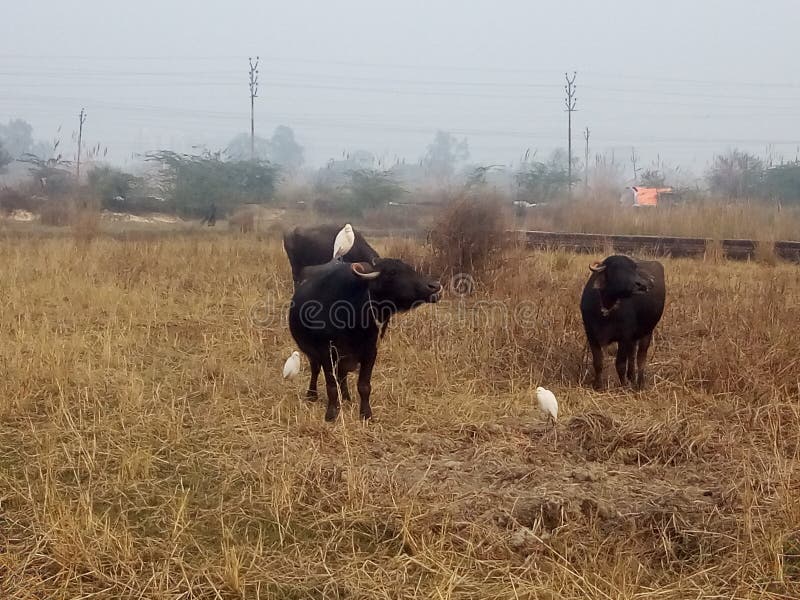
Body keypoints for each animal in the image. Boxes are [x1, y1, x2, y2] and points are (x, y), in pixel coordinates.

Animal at [289, 259, 441, 421]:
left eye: (410, 268)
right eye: (392, 272)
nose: (435, 286)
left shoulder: (370, 352)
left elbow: (364, 386)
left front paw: (366, 413)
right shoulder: (326, 353)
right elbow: (331, 385)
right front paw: (331, 413)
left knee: (342, 377)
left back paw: (346, 398)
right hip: (312, 354)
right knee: (316, 370)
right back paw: (312, 395)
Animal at [580, 255, 665, 389]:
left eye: (634, 268)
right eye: (616, 269)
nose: (642, 285)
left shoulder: (625, 337)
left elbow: (620, 364)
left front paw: (623, 385)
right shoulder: (591, 335)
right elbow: (598, 361)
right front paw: (597, 385)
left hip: (647, 331)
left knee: (641, 357)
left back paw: (639, 383)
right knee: (632, 355)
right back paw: (631, 377)